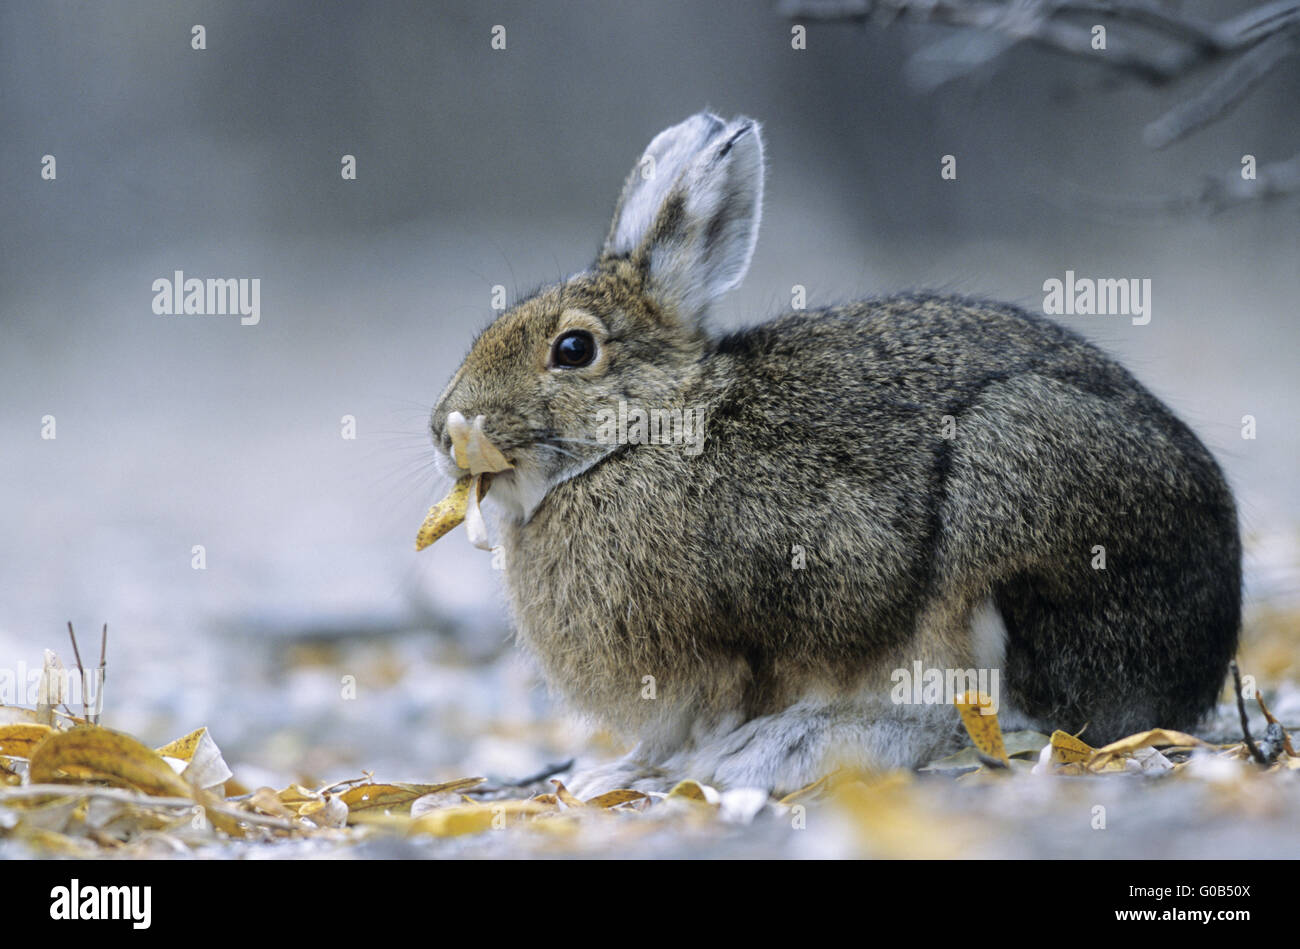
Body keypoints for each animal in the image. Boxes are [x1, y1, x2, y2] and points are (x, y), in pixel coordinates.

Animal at [427, 112, 1241, 796]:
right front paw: (616, 770)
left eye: (573, 349)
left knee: (1008, 723)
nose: (443, 430)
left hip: (1009, 493)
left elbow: (707, 716)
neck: (654, 428)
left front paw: (647, 771)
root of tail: (1201, 662)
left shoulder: (744, 643)